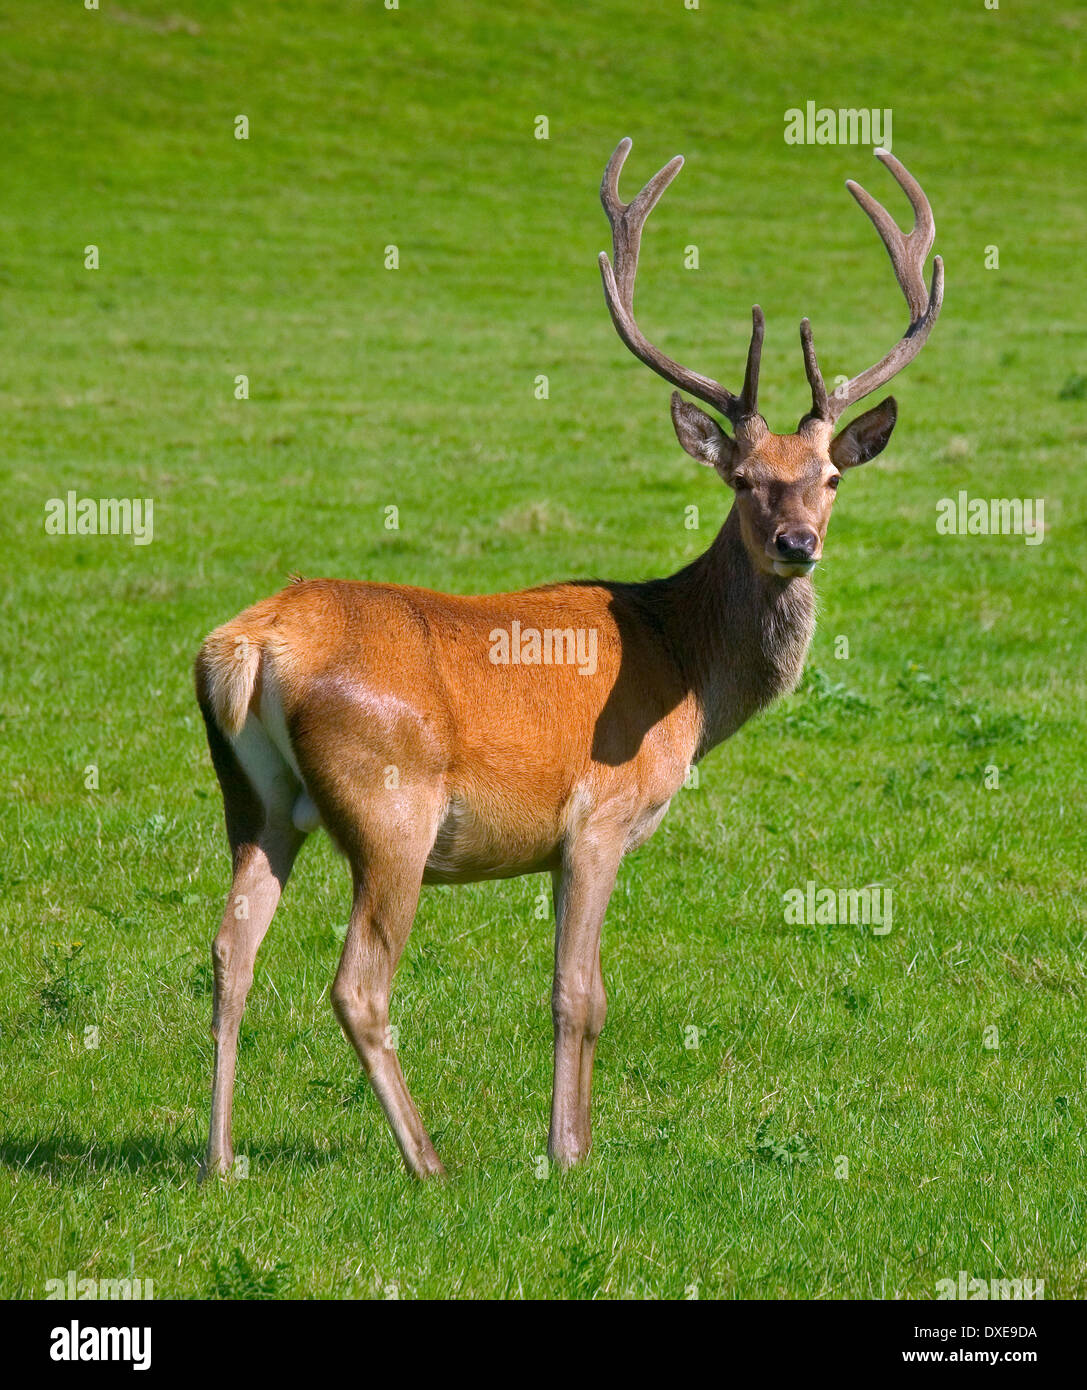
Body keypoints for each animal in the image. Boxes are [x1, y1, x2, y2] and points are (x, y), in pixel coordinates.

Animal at [194, 139, 942, 1180]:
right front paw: (570, 1156)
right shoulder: (599, 816)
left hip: (256, 801)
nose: (796, 543)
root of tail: (248, 646)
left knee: (229, 952)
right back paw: (427, 1161)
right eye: (741, 480)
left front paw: (569, 1142)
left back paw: (219, 1160)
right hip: (389, 805)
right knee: (357, 983)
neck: (687, 675)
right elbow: (579, 997)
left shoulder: (554, 844)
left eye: (830, 477)